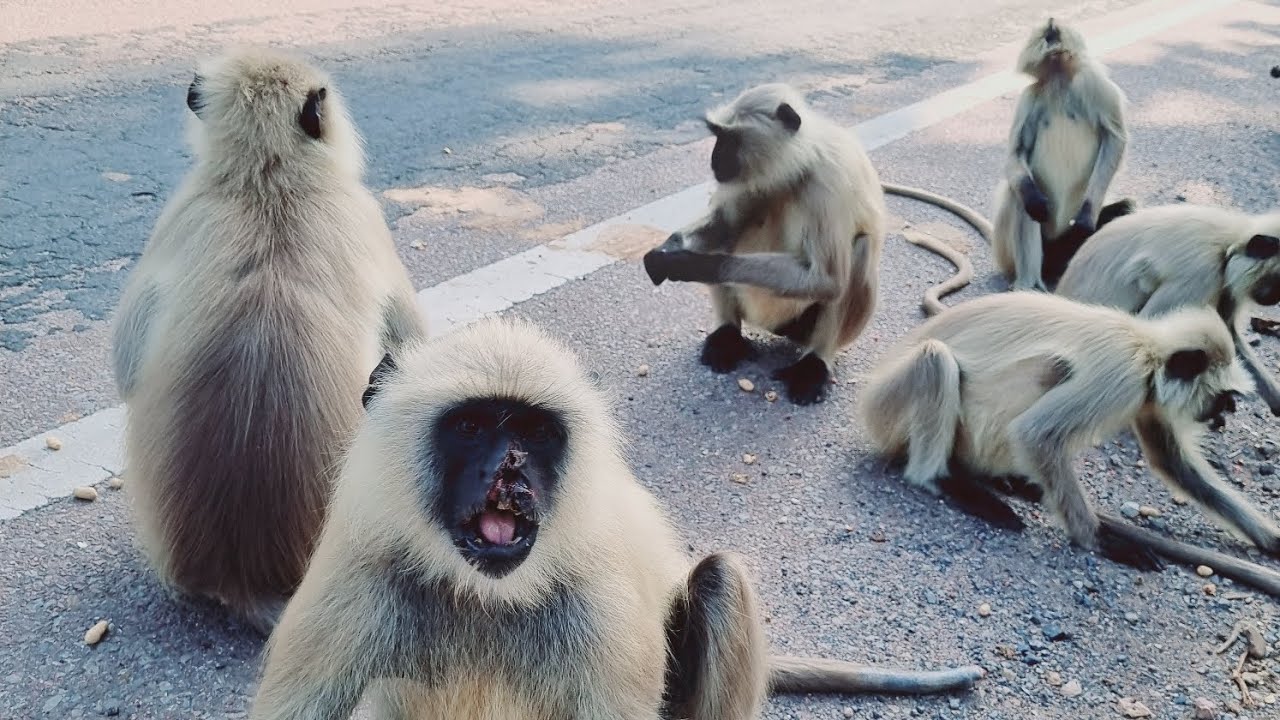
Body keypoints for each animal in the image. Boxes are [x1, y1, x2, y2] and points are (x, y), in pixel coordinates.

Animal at [249, 316, 985, 720]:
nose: (511, 468)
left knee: (717, 578)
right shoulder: (359, 582)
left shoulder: (598, 612)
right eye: (472, 426)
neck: (487, 596)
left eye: (534, 433)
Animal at [641, 82, 998, 404]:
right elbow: (724, 226)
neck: (798, 165)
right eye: (717, 136)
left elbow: (827, 279)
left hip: (813, 323)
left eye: (729, 138)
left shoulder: (829, 181)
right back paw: (726, 335)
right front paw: (668, 249)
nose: (714, 158)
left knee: (857, 252)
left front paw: (689, 264)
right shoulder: (750, 178)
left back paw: (813, 364)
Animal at [857, 291, 1278, 572]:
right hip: (886, 408)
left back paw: (1004, 479)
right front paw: (1100, 540)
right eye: (1223, 399)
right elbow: (1036, 433)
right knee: (937, 359)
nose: (1228, 414)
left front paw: (1273, 540)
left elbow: (1173, 463)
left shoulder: (1146, 395)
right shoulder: (1121, 375)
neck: (1145, 347)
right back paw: (946, 481)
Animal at [989, 18, 1136, 292]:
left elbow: (1115, 138)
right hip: (1009, 254)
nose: (1052, 20)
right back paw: (1029, 283)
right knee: (1020, 198)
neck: (1058, 76)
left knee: (1127, 207)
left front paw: (1087, 217)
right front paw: (1034, 199)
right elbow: (1016, 155)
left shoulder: (1093, 83)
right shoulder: (1030, 95)